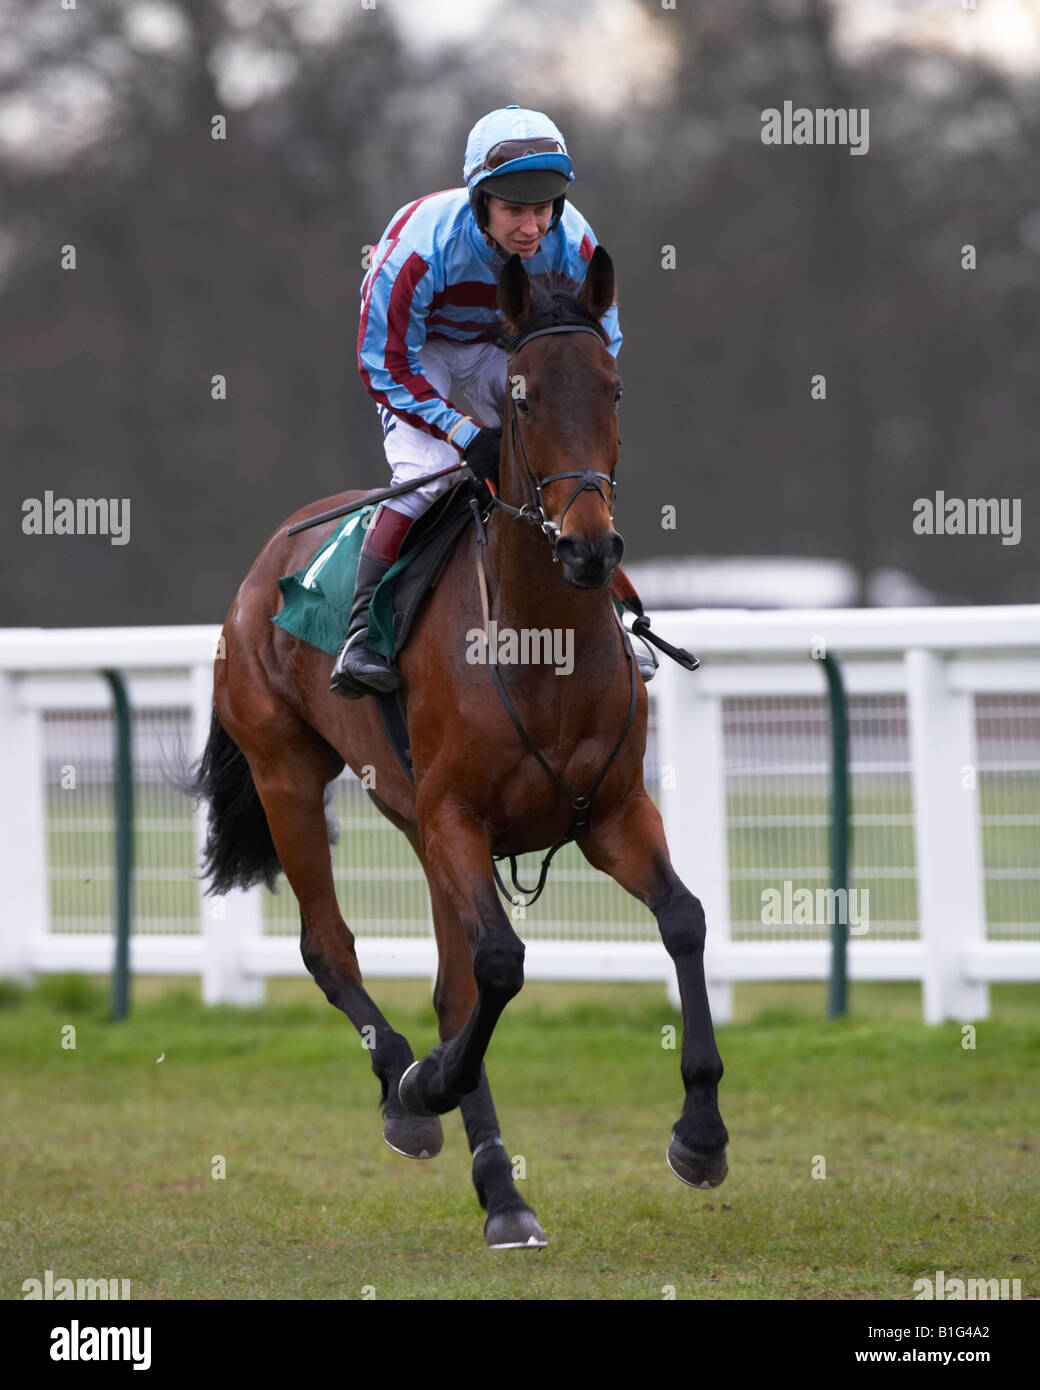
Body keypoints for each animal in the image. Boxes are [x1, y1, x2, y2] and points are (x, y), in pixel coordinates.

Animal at [185, 246, 728, 1249]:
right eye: (520, 397)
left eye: (613, 387)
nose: (590, 550)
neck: (541, 647)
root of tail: (263, 563)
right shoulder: (458, 819)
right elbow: (501, 968)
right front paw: (428, 1080)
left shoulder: (612, 812)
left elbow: (683, 920)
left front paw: (700, 1135)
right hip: (288, 775)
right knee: (331, 948)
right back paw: (409, 1089)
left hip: (413, 821)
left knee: (451, 985)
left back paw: (502, 1192)